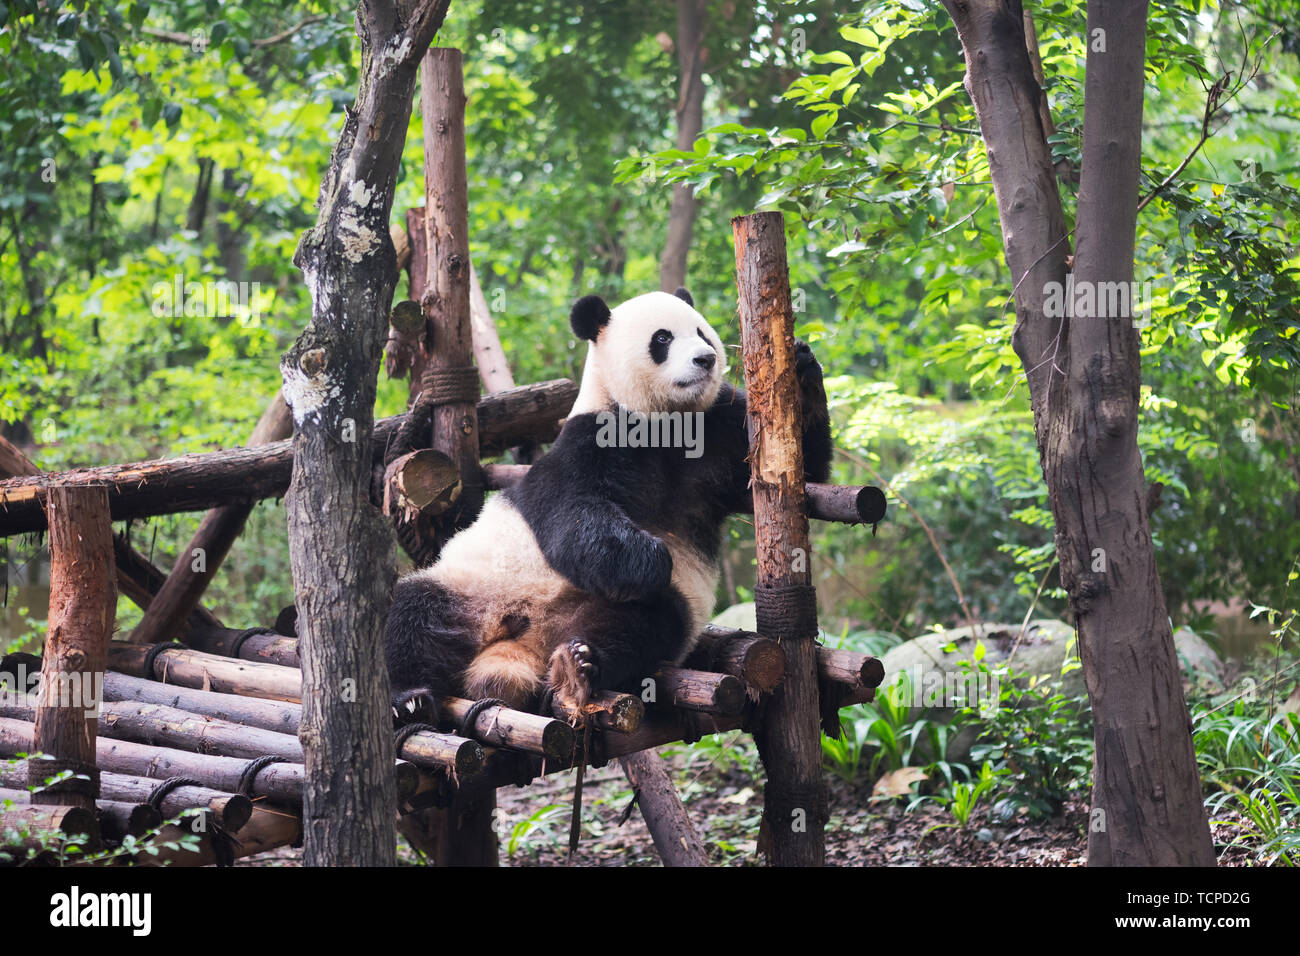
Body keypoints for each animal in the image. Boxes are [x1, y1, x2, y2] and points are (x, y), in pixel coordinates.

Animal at [384, 287, 832, 723]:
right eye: (663, 339)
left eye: (702, 333)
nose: (705, 359)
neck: (667, 425)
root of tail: (524, 643)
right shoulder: (588, 439)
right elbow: (574, 516)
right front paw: (652, 557)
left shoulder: (719, 430)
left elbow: (801, 469)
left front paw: (802, 366)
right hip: (475, 588)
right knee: (412, 613)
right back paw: (410, 698)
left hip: (608, 607)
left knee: (645, 622)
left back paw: (579, 665)